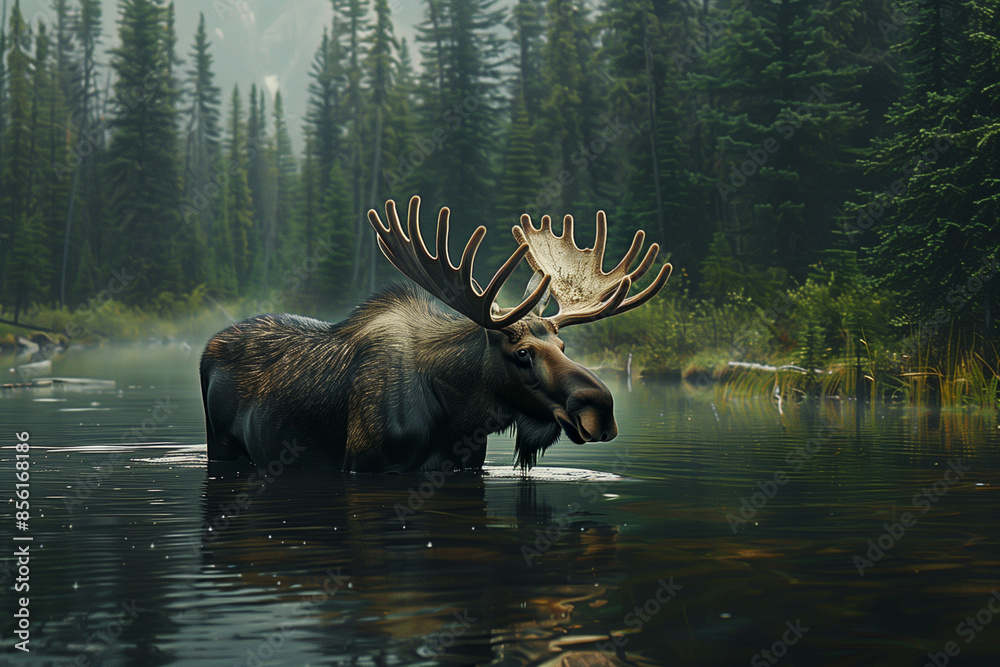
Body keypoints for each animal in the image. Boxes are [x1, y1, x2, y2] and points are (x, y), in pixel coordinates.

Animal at [199, 196, 671, 472]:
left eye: (563, 344)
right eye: (521, 352)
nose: (601, 409)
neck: (458, 415)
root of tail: (207, 346)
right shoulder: (365, 465)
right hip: (220, 446)